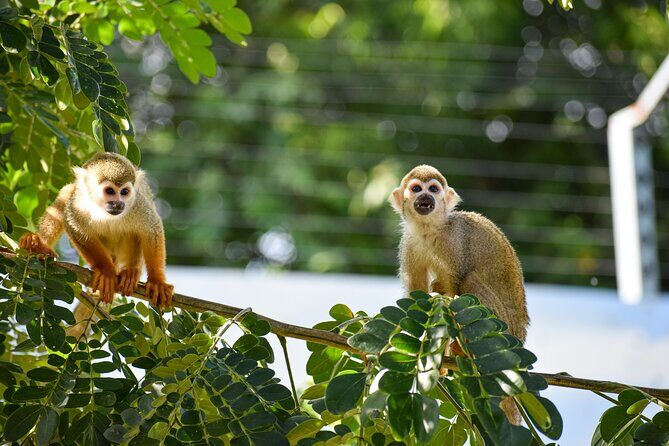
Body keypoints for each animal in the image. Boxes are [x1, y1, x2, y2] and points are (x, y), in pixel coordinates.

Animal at [19, 152, 173, 308]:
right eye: (110, 191)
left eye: (124, 192)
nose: (118, 204)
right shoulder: (78, 205)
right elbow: (75, 228)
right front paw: (106, 271)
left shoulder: (137, 204)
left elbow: (152, 229)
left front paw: (157, 282)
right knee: (67, 193)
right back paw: (38, 245)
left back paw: (131, 271)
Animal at [389, 164, 529, 424]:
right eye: (416, 189)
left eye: (434, 189)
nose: (426, 197)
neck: (430, 230)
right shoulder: (409, 243)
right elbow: (419, 297)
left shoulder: (455, 241)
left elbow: (453, 294)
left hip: (504, 326)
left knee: (469, 280)